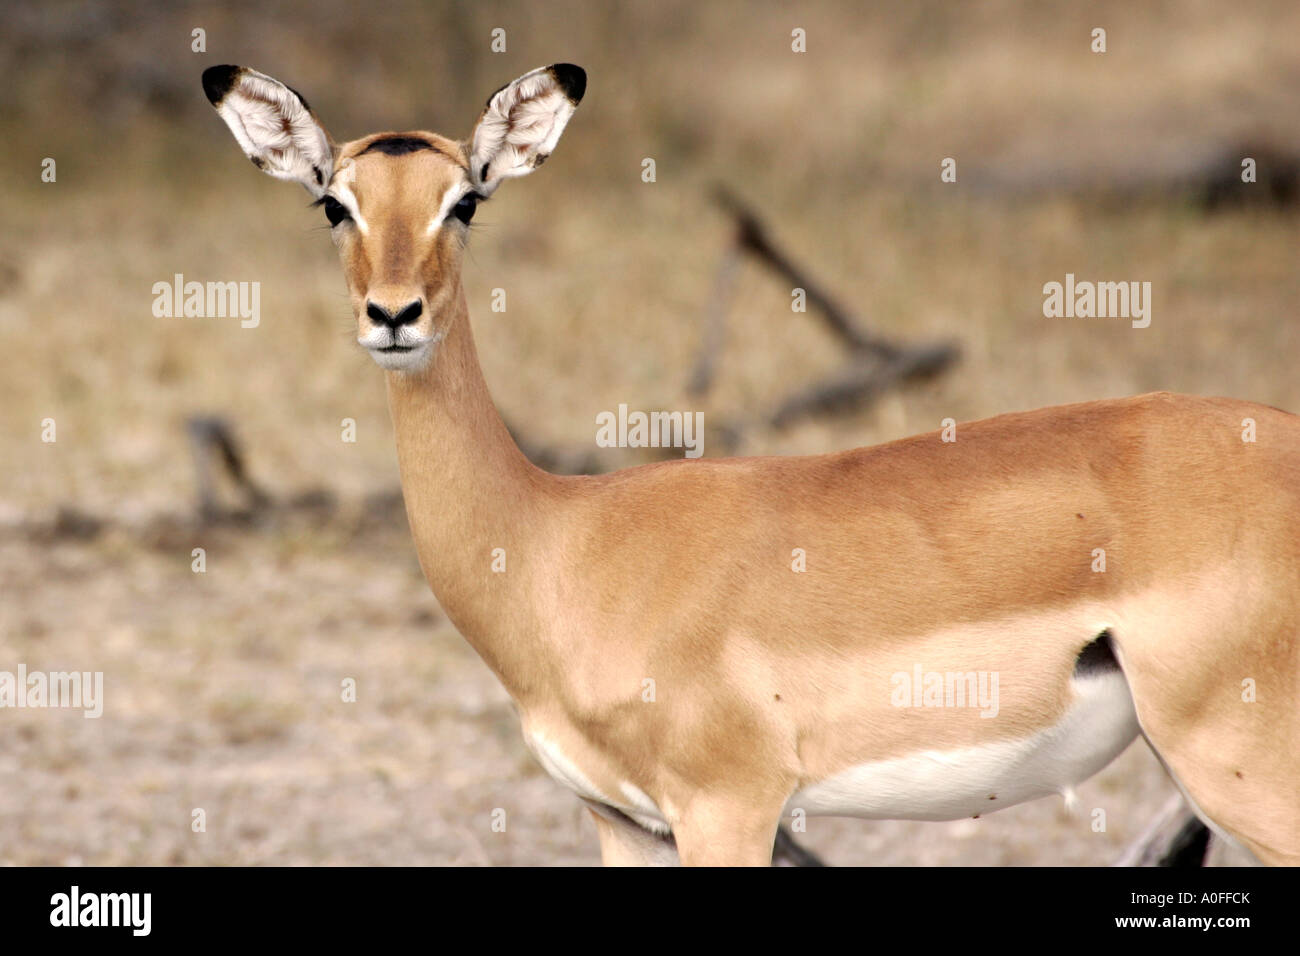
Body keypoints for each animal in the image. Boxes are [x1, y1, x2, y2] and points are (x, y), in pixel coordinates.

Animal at [202, 62, 1300, 866]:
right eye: (334, 203)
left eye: (464, 200)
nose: (394, 316)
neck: (556, 542)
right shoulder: (621, 821)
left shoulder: (726, 805)